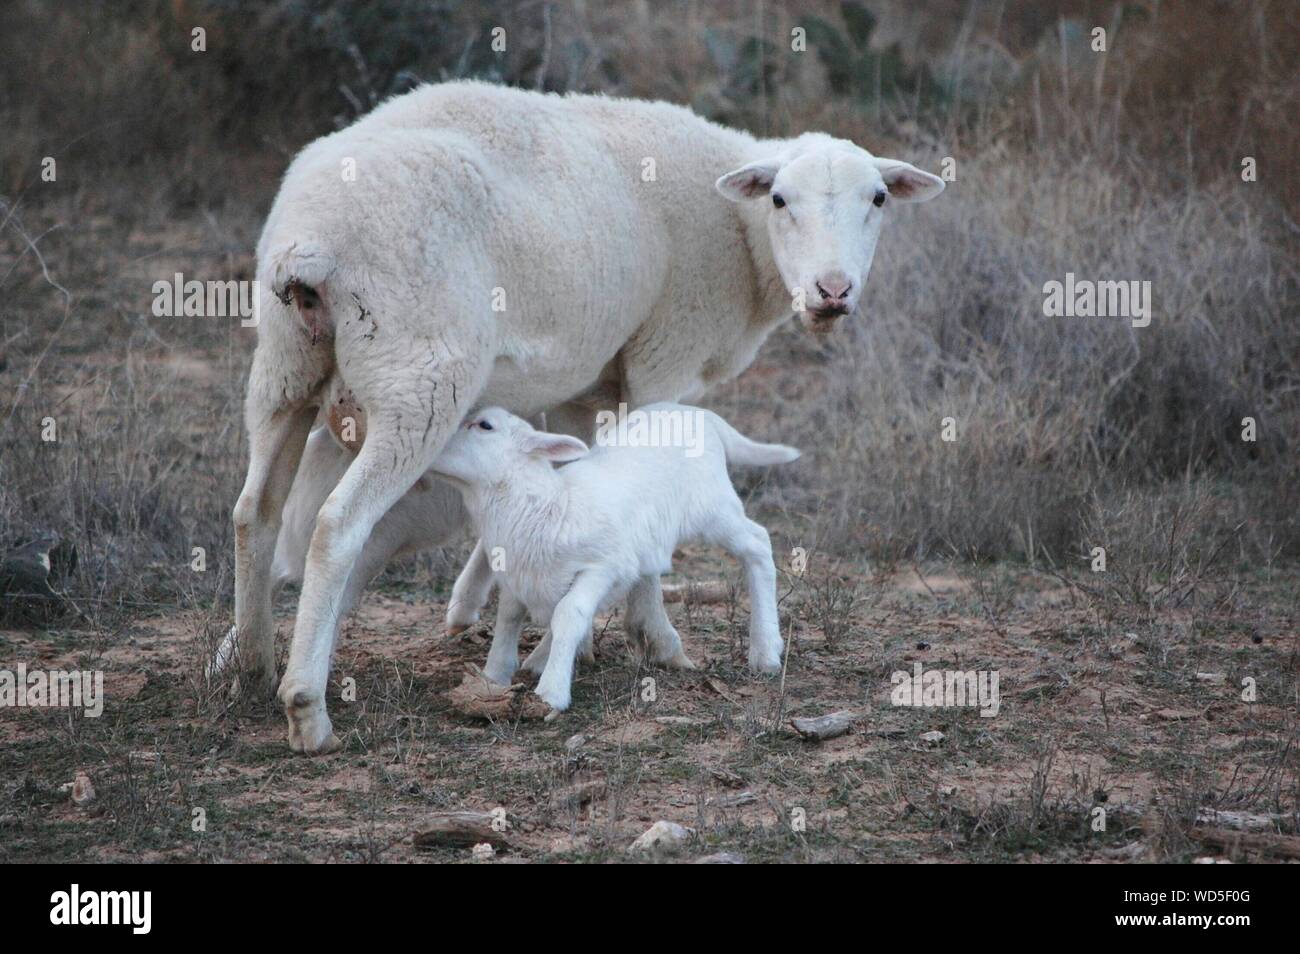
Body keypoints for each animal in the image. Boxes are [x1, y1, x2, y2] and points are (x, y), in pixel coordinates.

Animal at [430, 403, 800, 712]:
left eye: (485, 425)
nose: (435, 447)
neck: (550, 505)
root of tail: (702, 414)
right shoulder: (518, 574)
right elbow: (508, 616)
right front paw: (494, 675)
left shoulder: (601, 567)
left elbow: (569, 613)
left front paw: (552, 691)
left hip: (713, 509)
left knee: (758, 544)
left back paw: (765, 649)